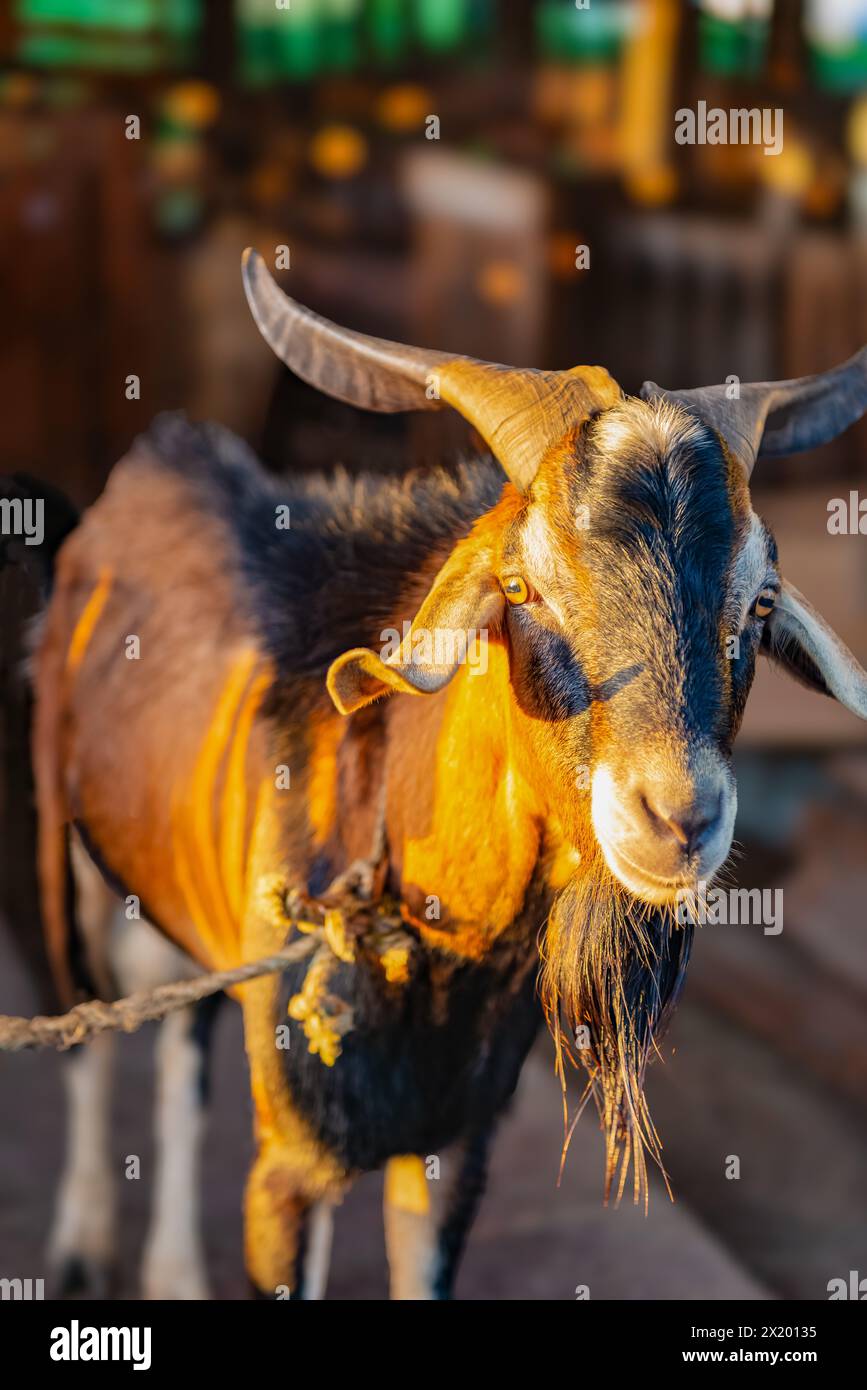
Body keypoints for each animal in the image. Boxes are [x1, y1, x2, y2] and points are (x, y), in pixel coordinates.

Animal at [24, 249, 867, 1298]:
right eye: (519, 587)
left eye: (758, 603)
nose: (675, 821)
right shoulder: (289, 1165)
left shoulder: (455, 1144)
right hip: (59, 847)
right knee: (89, 1018)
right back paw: (83, 1246)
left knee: (182, 1045)